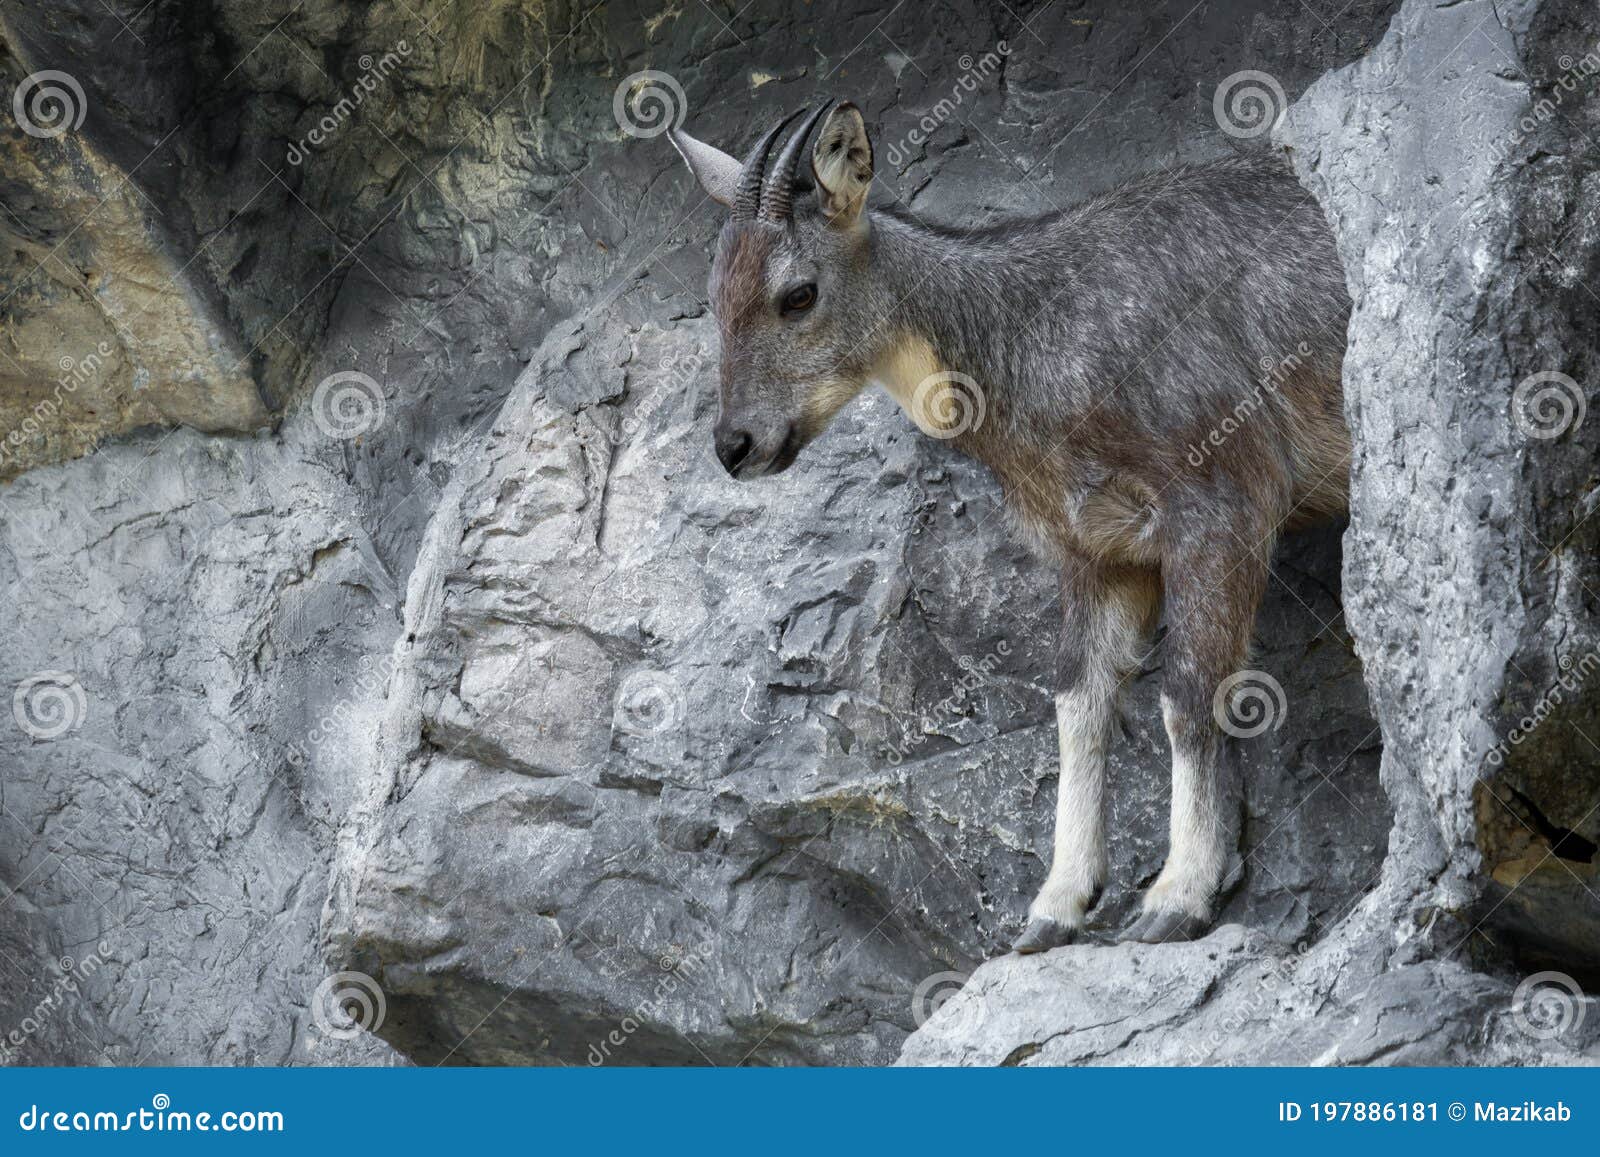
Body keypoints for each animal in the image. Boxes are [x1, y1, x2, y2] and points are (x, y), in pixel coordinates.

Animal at [667, 102, 1351, 950]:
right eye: (715, 293)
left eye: (797, 293)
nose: (735, 446)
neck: (1037, 339)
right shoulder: (1098, 549)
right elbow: (1078, 702)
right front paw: (1056, 906)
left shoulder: (1224, 504)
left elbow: (1191, 692)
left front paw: (1176, 898)